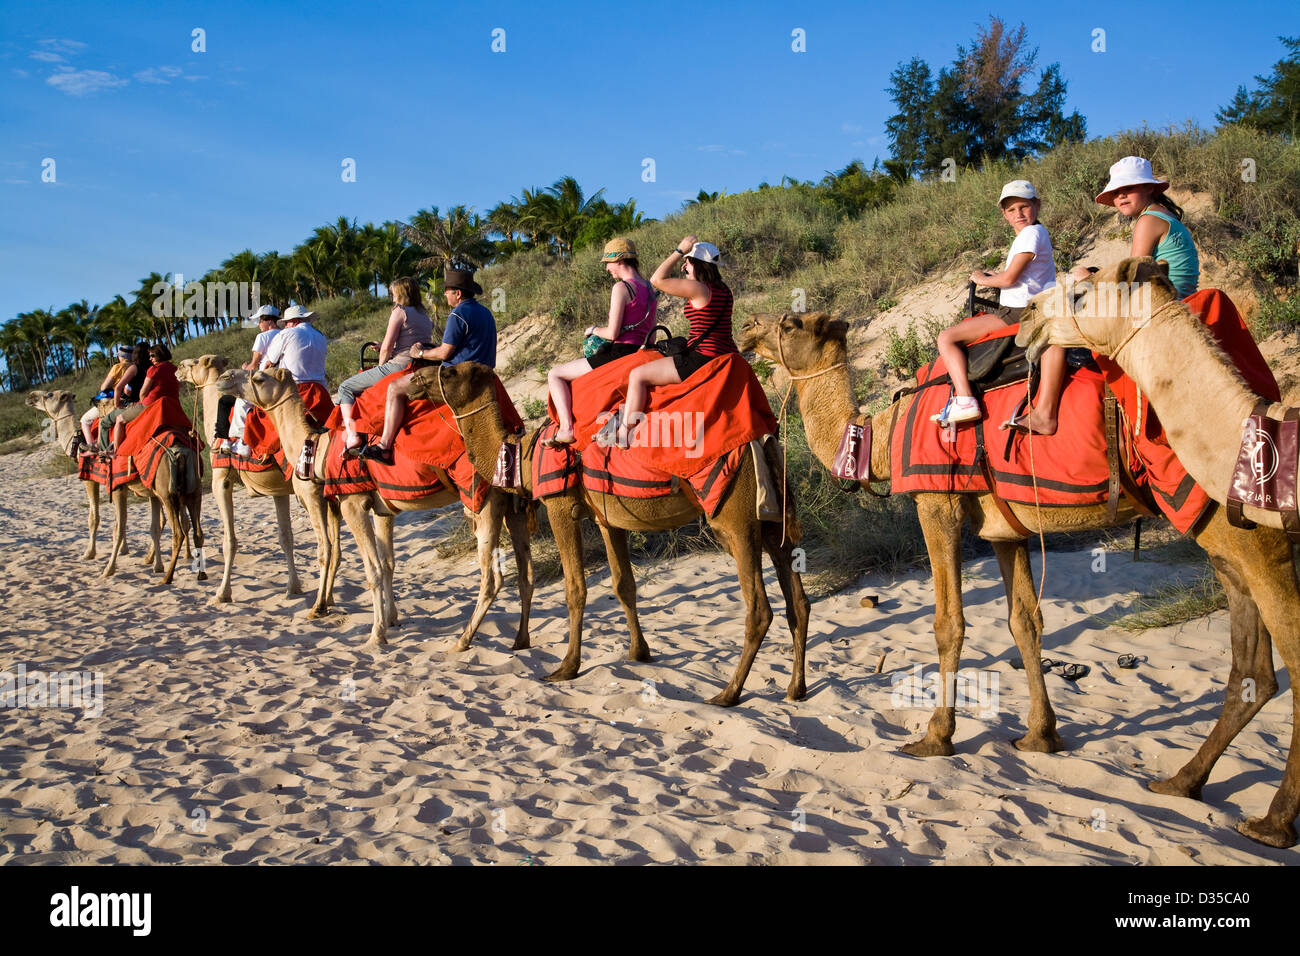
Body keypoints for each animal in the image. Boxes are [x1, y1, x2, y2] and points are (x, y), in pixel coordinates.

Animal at [26, 389, 205, 585]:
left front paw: (97, 560)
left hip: (168, 494)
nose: (31, 396)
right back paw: (194, 570)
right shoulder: (139, 490)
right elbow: (150, 526)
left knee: (178, 531)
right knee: (194, 529)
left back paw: (168, 576)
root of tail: (182, 451)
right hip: (191, 490)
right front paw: (153, 563)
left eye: (49, 395)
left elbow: (99, 520)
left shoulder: (94, 480)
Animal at [177, 355, 312, 604]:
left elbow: (229, 541)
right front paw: (293, 587)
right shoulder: (278, 490)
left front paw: (222, 593)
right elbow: (285, 537)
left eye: (195, 363)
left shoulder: (220, 481)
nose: (178, 368)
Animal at [216, 367, 534, 648]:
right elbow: (388, 563)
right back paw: (520, 641)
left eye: (259, 377)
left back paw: (462, 641)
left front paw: (375, 634)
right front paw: (392, 619)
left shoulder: (351, 503)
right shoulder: (383, 509)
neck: (317, 449)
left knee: (492, 577)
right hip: (512, 506)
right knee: (525, 574)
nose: (224, 377)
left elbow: (371, 569)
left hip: (481, 501)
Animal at [407, 360, 810, 706]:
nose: (413, 378)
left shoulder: (560, 506)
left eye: (450, 370)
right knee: (798, 601)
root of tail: (763, 441)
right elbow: (623, 585)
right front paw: (639, 652)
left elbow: (575, 588)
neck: (524, 454)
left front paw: (566, 667)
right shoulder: (606, 518)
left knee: (759, 608)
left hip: (735, 518)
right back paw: (795, 688)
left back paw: (728, 693)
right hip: (771, 519)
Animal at [739, 293, 1300, 849]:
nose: (746, 326)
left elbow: (949, 624)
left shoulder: (936, 501)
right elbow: (1024, 622)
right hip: (1215, 529)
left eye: (792, 322)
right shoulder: (1003, 529)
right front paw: (1040, 735)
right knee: (1252, 663)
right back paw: (1183, 781)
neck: (884, 435)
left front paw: (934, 737)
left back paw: (1272, 822)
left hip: (1234, 511)